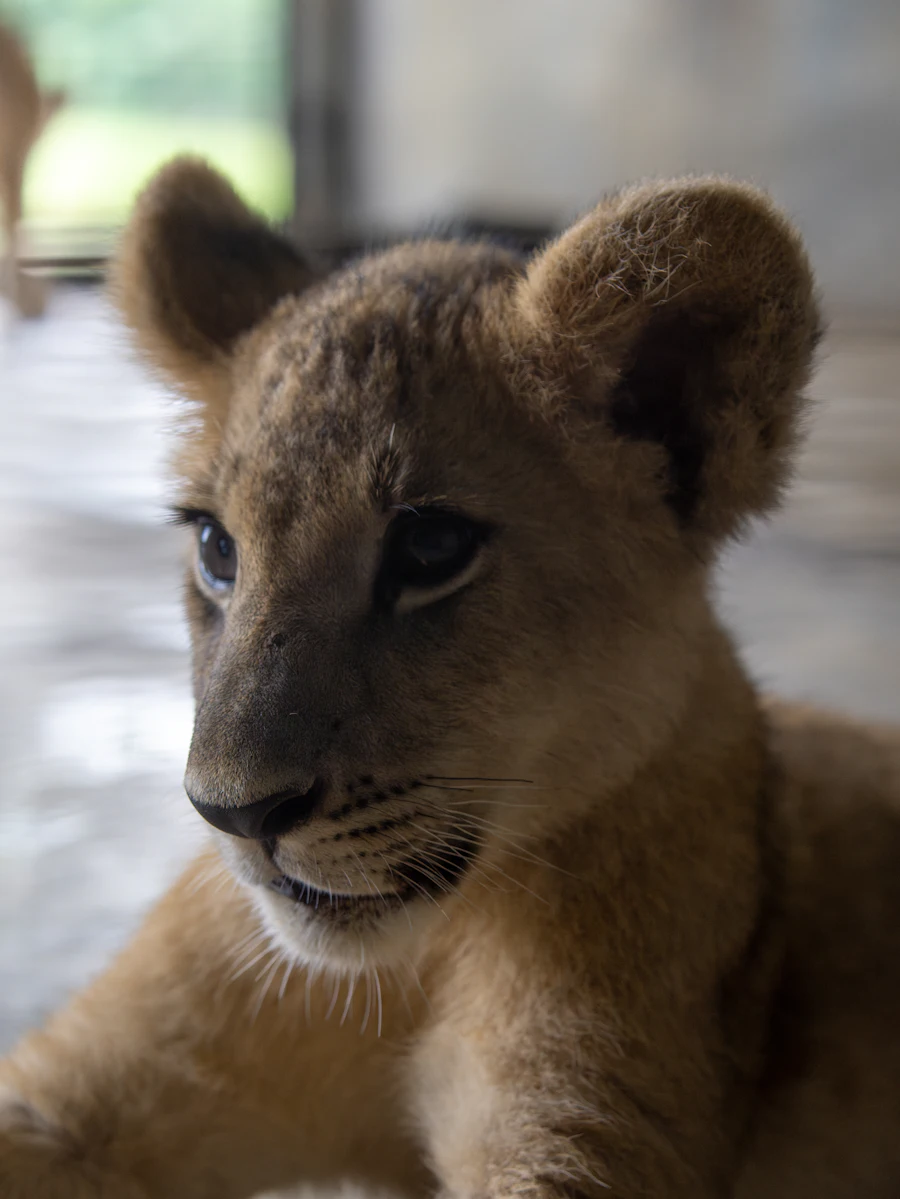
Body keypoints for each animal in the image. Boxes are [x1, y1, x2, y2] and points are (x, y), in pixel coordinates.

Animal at [2, 158, 900, 1199]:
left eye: (431, 548)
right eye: (218, 548)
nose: (232, 814)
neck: (406, 968)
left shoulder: (586, 1116)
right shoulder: (84, 1089)